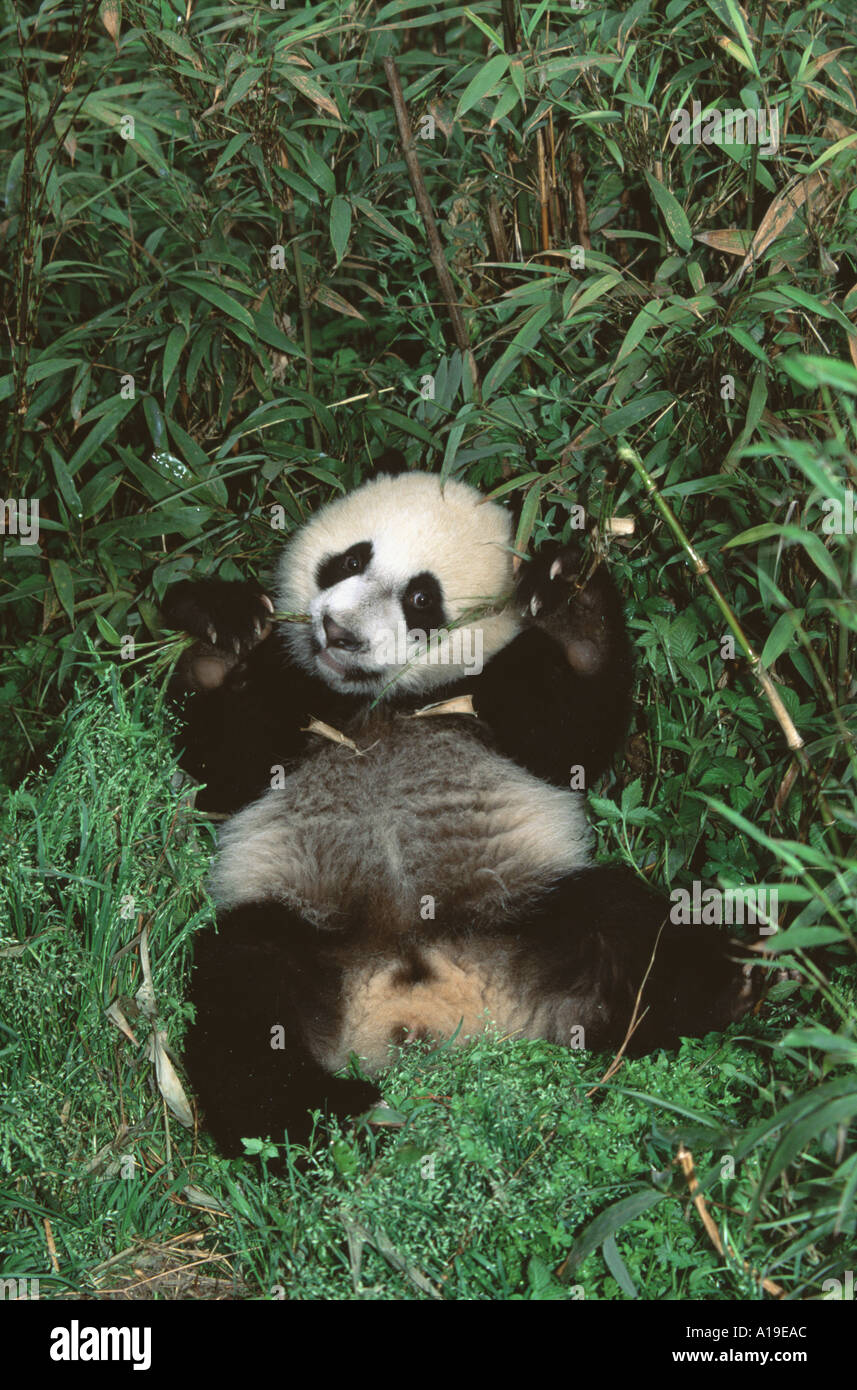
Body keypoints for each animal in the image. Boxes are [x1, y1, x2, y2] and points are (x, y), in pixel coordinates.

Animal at [163, 470, 757, 1156]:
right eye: (352, 560)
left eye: (423, 600)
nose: (339, 632)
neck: (381, 704)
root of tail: (433, 1004)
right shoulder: (305, 706)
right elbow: (221, 768)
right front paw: (223, 630)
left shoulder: (481, 701)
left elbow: (571, 739)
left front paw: (573, 605)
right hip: (310, 937)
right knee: (244, 990)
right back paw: (332, 1118)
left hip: (522, 913)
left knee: (619, 924)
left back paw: (732, 980)